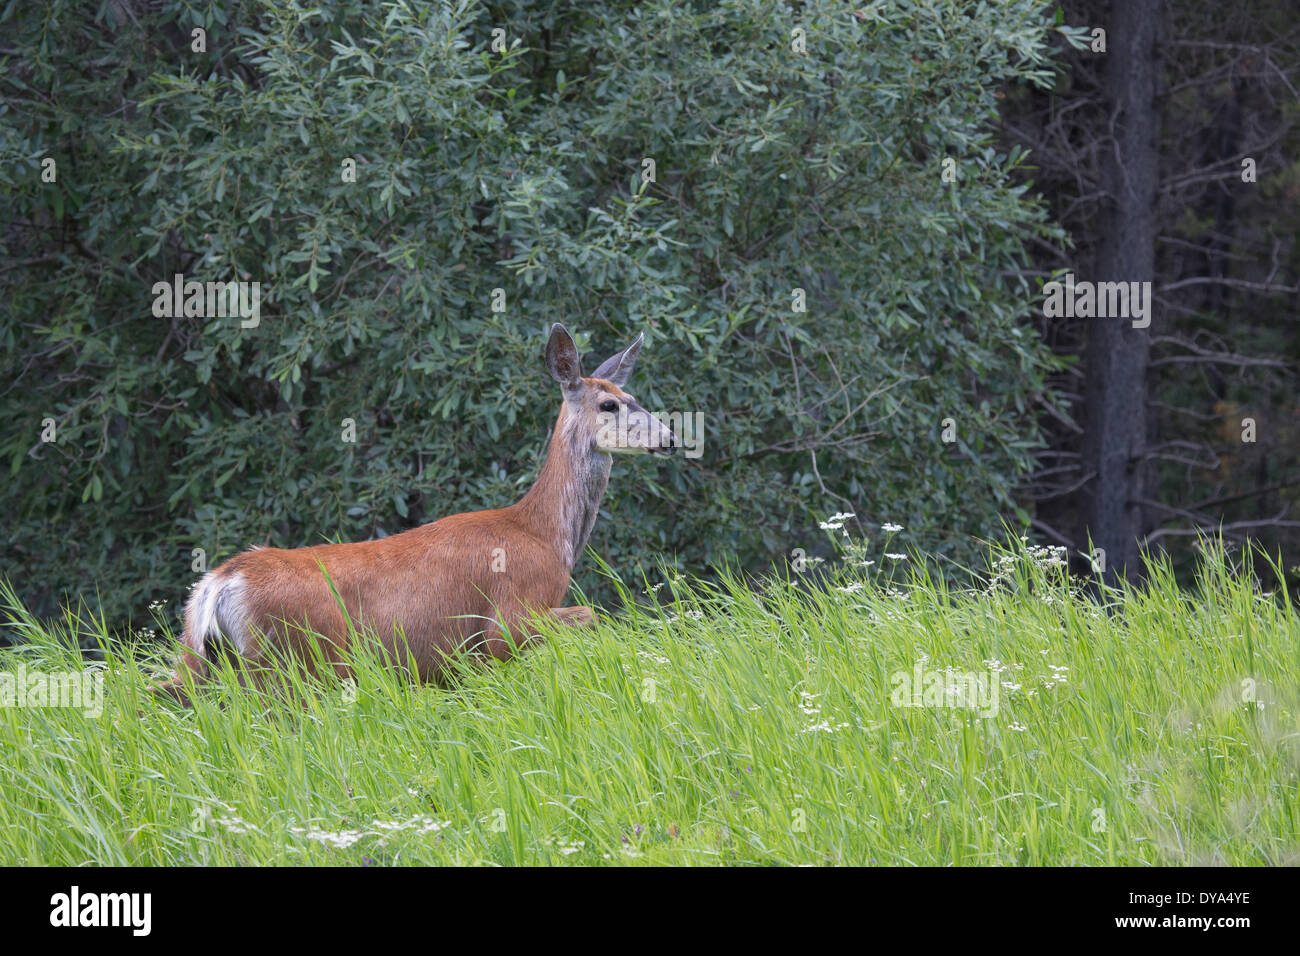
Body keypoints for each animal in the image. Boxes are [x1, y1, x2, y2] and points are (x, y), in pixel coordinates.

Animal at [152, 323, 677, 706]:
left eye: (635, 398)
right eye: (609, 403)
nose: (671, 437)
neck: (545, 533)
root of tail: (221, 583)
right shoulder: (507, 622)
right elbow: (590, 614)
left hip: (198, 660)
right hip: (294, 663)